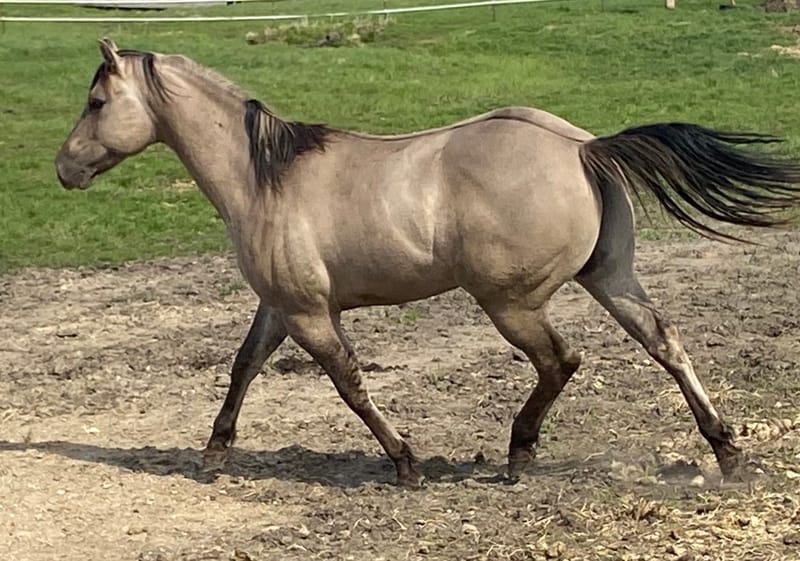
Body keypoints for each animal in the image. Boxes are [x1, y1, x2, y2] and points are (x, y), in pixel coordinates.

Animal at [56, 39, 800, 487]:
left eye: (96, 102)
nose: (65, 169)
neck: (264, 178)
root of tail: (583, 148)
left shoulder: (308, 312)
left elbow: (349, 383)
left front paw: (406, 461)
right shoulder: (280, 305)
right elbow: (243, 366)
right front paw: (214, 451)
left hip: (509, 300)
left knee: (560, 360)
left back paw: (519, 452)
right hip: (609, 278)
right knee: (664, 343)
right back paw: (727, 449)